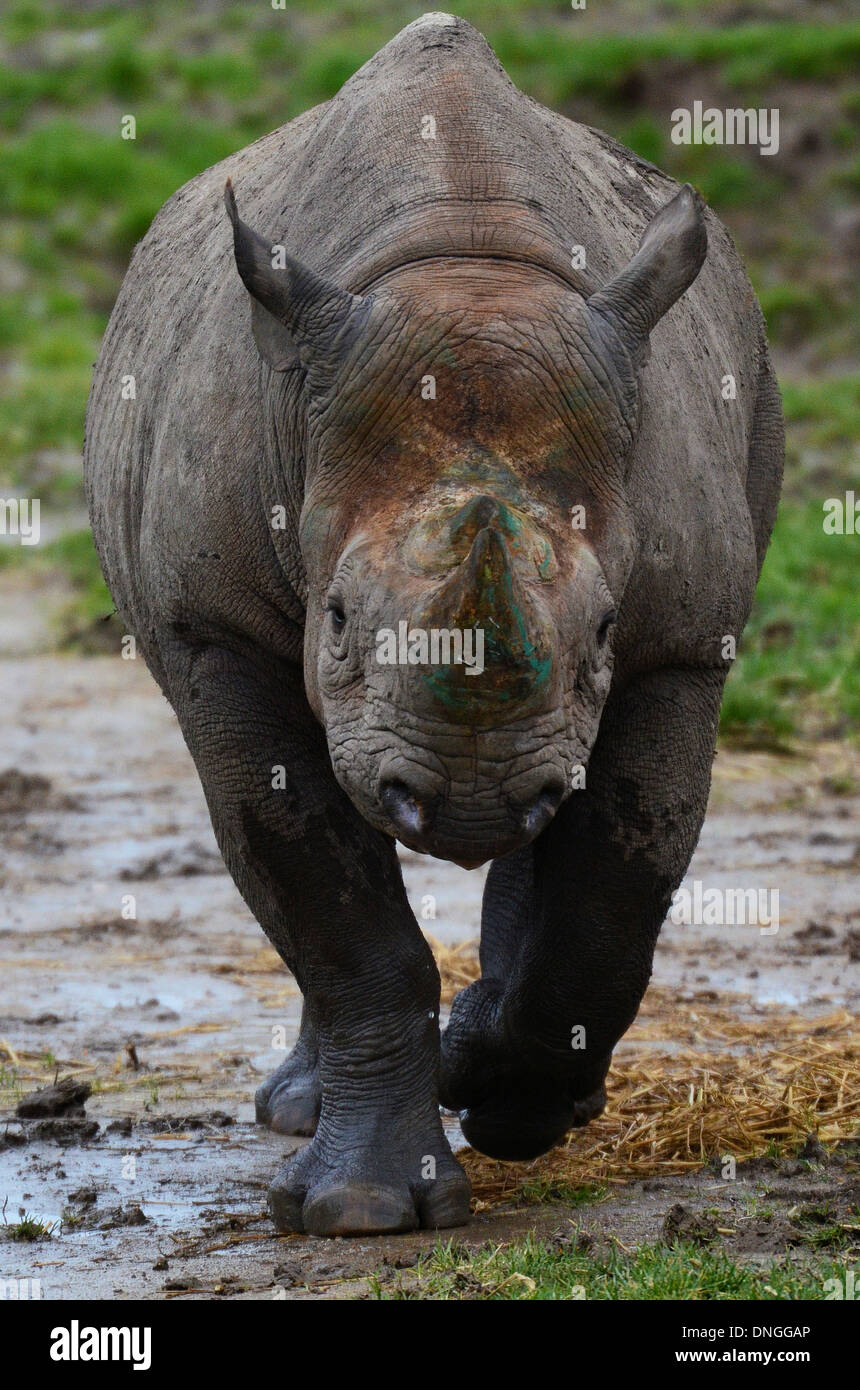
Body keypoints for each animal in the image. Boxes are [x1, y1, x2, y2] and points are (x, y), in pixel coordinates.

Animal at [84, 13, 783, 1235]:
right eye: (335, 619)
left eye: (605, 629)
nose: (465, 799)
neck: (468, 266)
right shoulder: (212, 630)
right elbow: (327, 896)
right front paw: (358, 1213)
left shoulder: (682, 645)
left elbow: (613, 886)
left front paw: (500, 1096)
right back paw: (305, 1110)